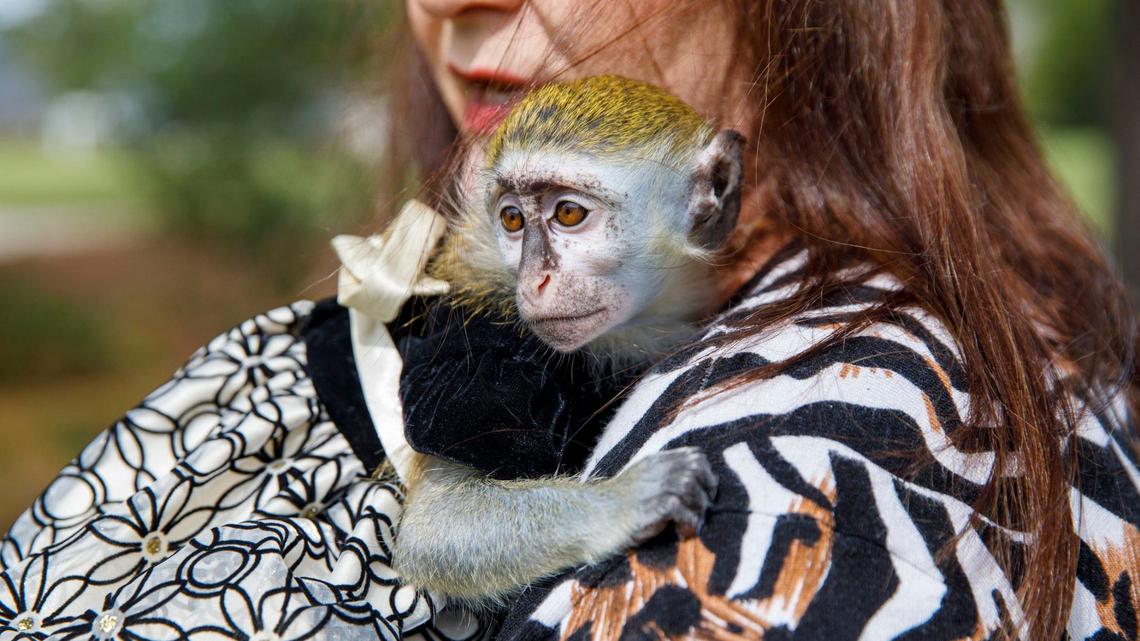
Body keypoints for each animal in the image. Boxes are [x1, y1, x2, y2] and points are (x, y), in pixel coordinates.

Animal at [391, 76, 745, 608]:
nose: (533, 280)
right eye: (512, 220)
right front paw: (624, 502)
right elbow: (434, 530)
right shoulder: (471, 366)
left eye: (569, 213)